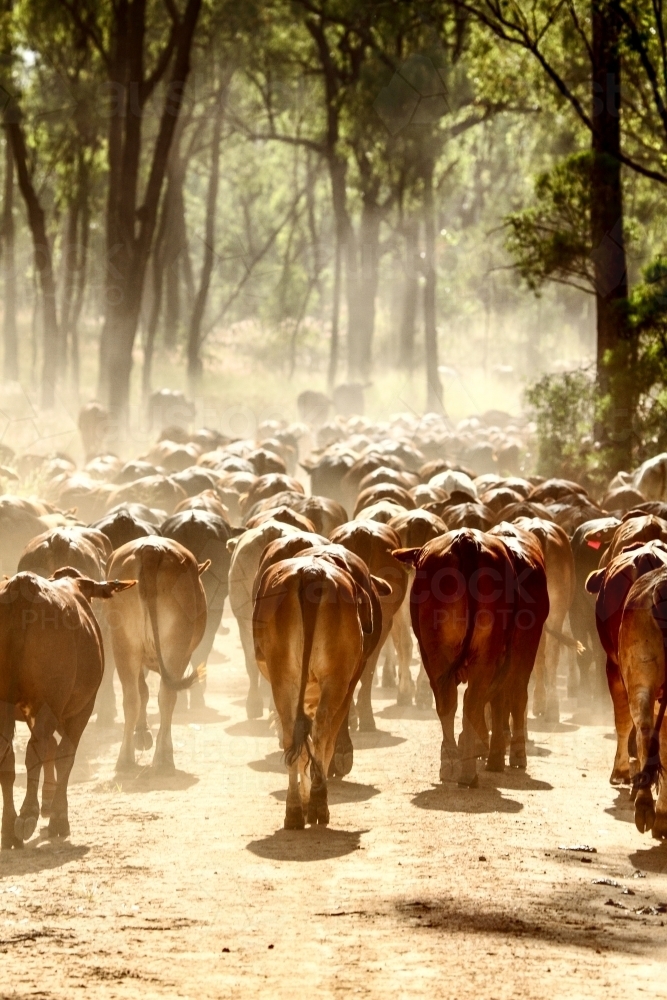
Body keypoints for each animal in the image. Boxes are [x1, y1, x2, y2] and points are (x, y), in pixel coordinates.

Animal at [0, 569, 134, 848]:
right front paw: (59, 817)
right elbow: (65, 756)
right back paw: (28, 813)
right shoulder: (80, 710)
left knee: (7, 758)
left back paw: (8, 829)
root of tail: (23, 587)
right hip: (51, 702)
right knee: (36, 751)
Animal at [106, 537, 209, 772]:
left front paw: (142, 733)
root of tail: (151, 549)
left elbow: (142, 691)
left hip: (124, 644)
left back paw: (125, 759)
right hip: (174, 647)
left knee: (131, 698)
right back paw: (164, 756)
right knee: (167, 696)